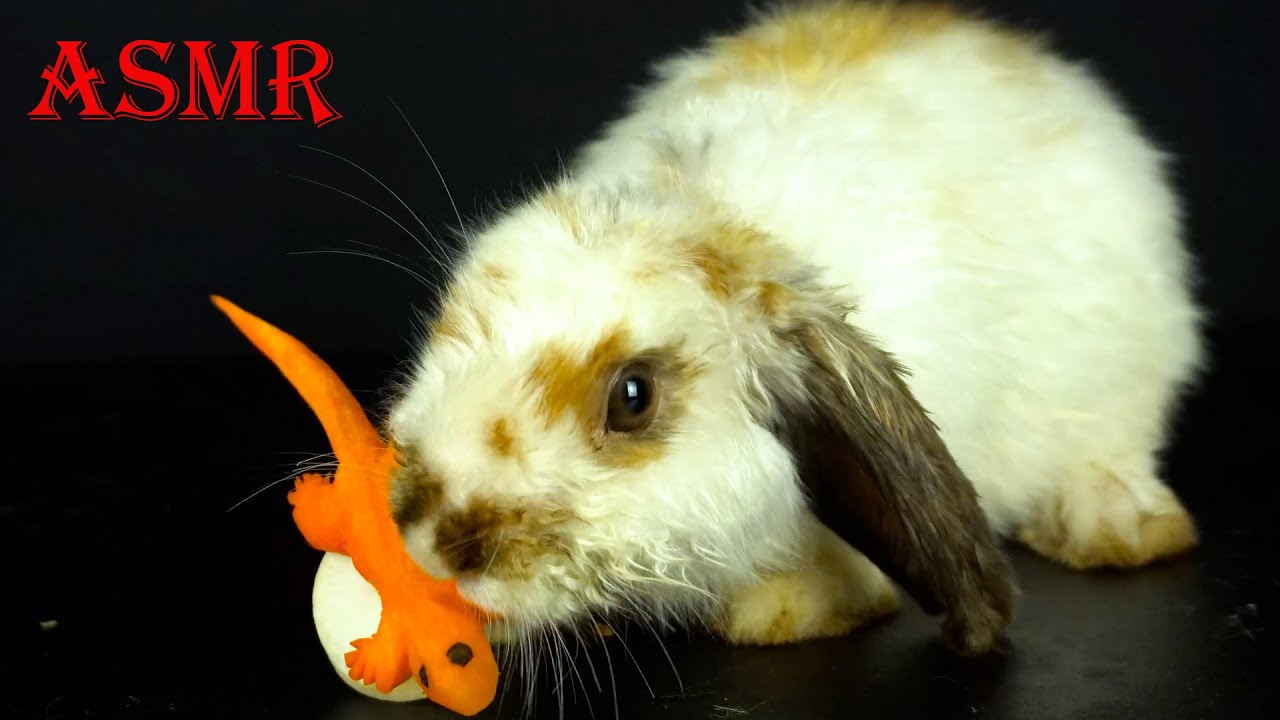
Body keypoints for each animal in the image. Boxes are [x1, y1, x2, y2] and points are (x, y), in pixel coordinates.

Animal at [384, 0, 1205, 656]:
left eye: (633, 397)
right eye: (453, 326)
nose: (426, 540)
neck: (724, 223)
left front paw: (788, 608)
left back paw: (1115, 522)